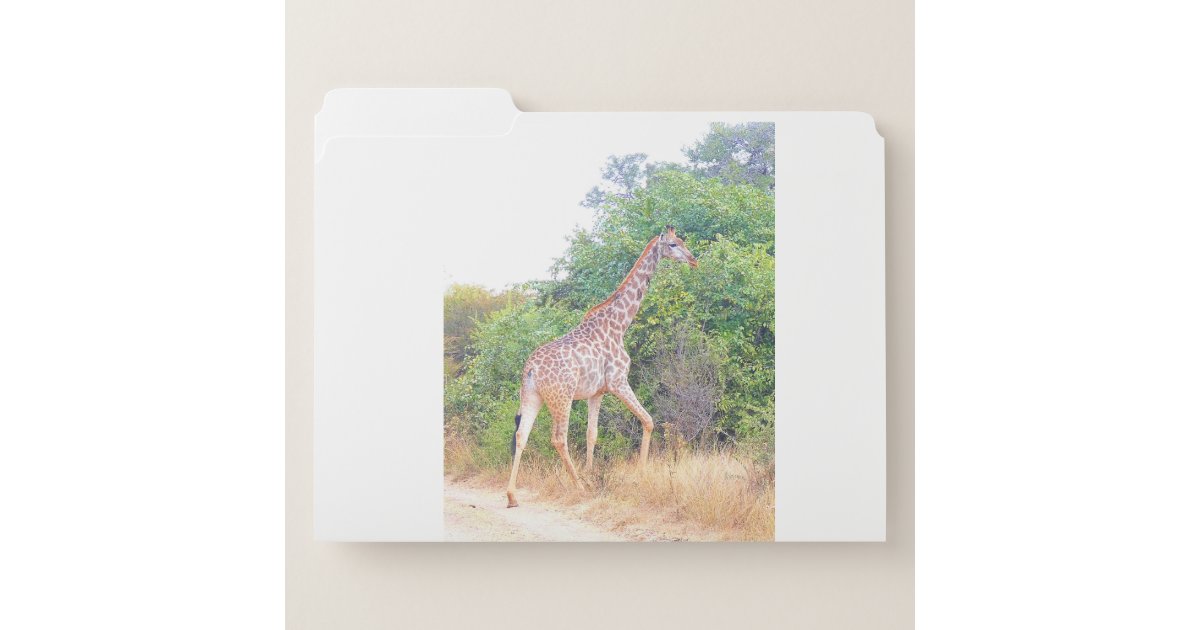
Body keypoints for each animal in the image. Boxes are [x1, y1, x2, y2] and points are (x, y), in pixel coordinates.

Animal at [505, 225, 698, 508]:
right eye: (673, 245)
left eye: (682, 241)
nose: (694, 260)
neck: (620, 324)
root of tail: (531, 369)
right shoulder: (618, 381)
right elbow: (649, 420)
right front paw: (641, 474)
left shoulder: (596, 393)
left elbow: (592, 433)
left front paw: (591, 474)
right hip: (561, 398)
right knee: (558, 438)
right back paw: (578, 487)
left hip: (533, 396)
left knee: (522, 435)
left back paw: (512, 495)